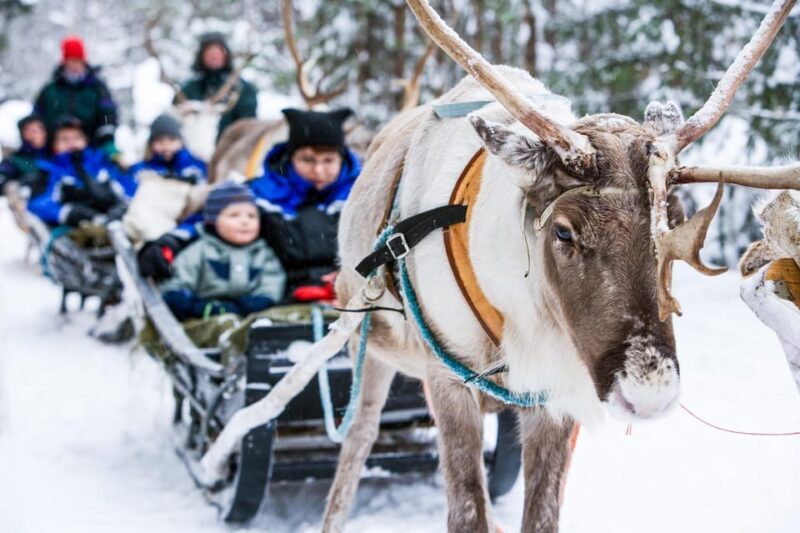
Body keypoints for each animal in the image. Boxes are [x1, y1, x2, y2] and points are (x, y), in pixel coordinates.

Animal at [197, 1, 800, 531]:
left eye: (673, 221)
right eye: (563, 231)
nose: (648, 393)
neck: (520, 317)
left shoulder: (554, 395)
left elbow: (541, 515)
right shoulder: (447, 379)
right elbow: (467, 510)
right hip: (368, 341)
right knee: (356, 441)